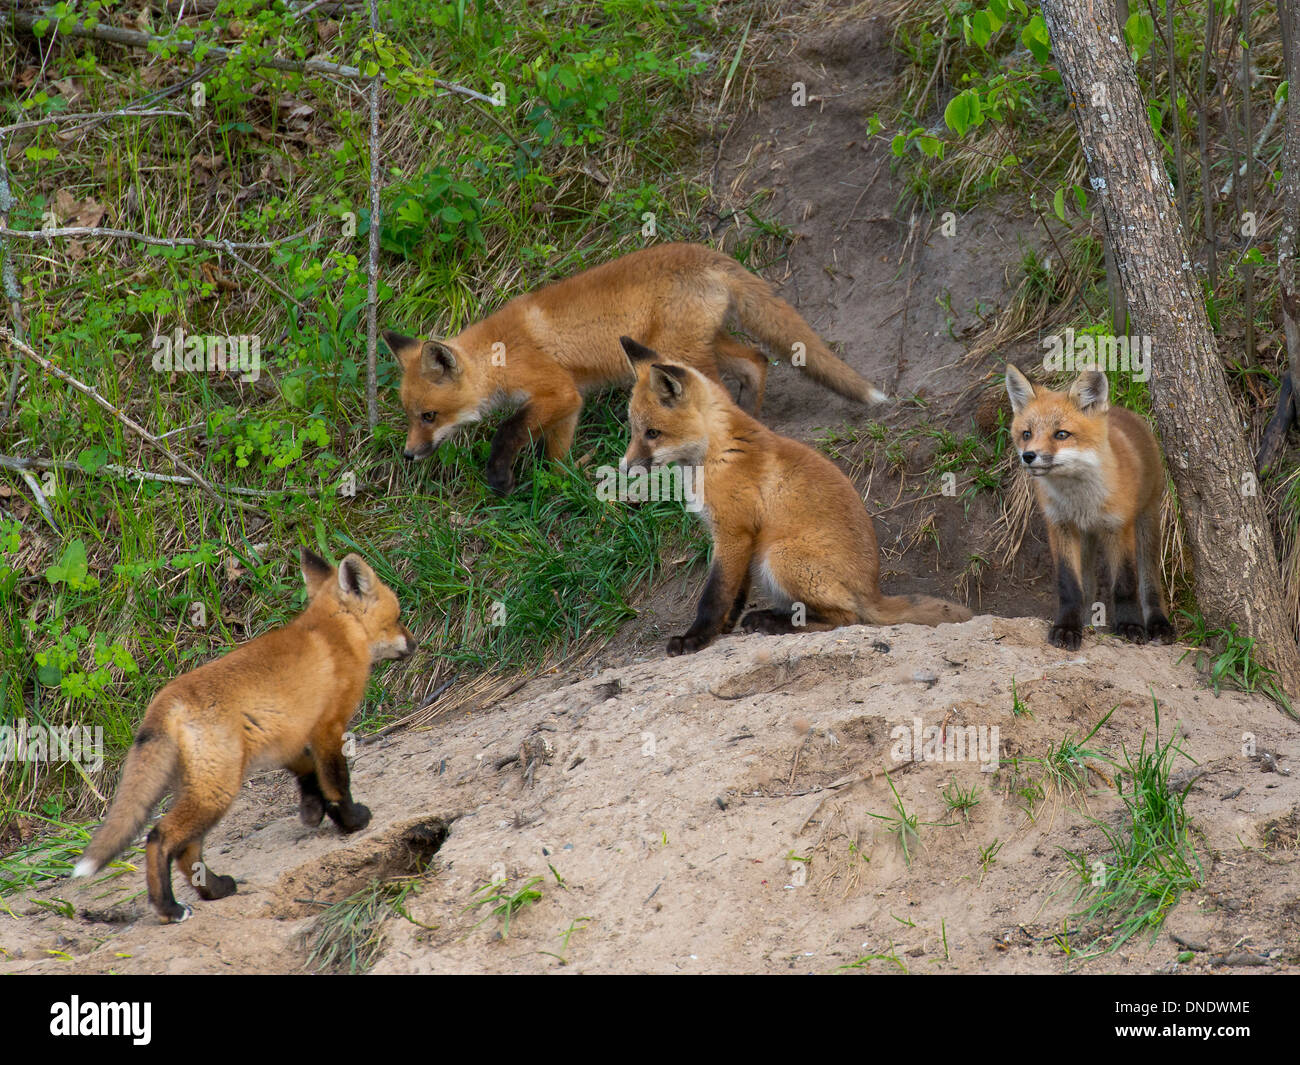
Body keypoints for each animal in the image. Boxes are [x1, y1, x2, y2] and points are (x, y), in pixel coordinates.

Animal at [72, 549, 416, 923]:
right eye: (398, 617)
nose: (415, 644)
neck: (334, 632)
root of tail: (165, 699)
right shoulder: (328, 727)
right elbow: (337, 782)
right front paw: (351, 821)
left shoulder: (287, 735)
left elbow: (310, 775)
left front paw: (313, 812)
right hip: (217, 791)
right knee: (159, 839)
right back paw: (169, 908)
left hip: (202, 787)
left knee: (187, 851)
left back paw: (215, 889)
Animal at [386, 242, 887, 496]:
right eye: (410, 418)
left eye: (428, 416)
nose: (408, 455)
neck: (500, 353)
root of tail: (709, 253)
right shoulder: (570, 402)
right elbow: (556, 454)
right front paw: (564, 481)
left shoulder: (556, 391)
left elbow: (508, 430)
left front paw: (501, 477)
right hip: (692, 346)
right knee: (756, 360)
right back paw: (756, 419)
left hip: (680, 354)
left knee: (724, 390)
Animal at [618, 336, 971, 655]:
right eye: (634, 432)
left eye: (652, 433)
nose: (622, 468)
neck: (719, 452)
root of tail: (874, 591)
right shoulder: (744, 536)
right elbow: (736, 591)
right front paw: (725, 626)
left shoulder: (733, 532)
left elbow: (713, 596)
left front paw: (696, 638)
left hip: (779, 555)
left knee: (848, 618)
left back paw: (774, 622)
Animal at [1005, 364, 1174, 651]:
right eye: (1026, 434)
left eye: (1061, 434)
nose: (1028, 456)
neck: (1082, 501)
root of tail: (1122, 410)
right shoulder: (1060, 526)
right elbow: (1070, 586)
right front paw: (1067, 628)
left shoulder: (1119, 527)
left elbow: (1124, 584)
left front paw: (1130, 626)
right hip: (1085, 539)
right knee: (1088, 585)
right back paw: (1086, 624)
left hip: (1147, 520)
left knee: (1149, 583)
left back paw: (1158, 623)